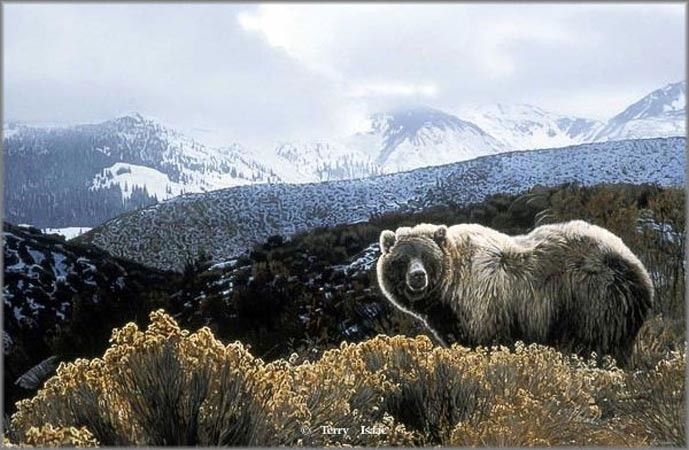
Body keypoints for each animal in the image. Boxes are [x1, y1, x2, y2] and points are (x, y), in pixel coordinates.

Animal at [376, 221, 653, 364]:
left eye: (426, 256)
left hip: (591, 297)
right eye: (402, 259)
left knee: (596, 341)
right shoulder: (451, 319)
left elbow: (487, 343)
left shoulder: (484, 305)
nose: (417, 276)